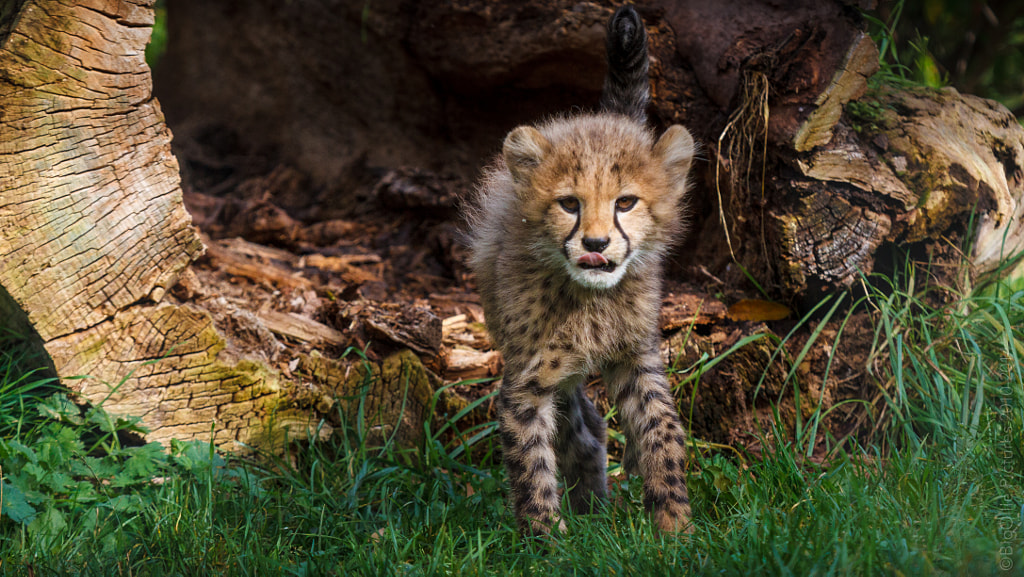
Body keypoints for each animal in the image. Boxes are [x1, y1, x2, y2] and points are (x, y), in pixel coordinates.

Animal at [465, 4, 697, 536]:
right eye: (569, 204)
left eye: (626, 202)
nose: (595, 244)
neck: (592, 298)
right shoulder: (527, 382)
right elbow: (531, 464)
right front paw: (545, 540)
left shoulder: (637, 358)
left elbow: (662, 432)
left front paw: (675, 525)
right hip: (558, 377)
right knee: (583, 430)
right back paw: (590, 512)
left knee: (590, 428)